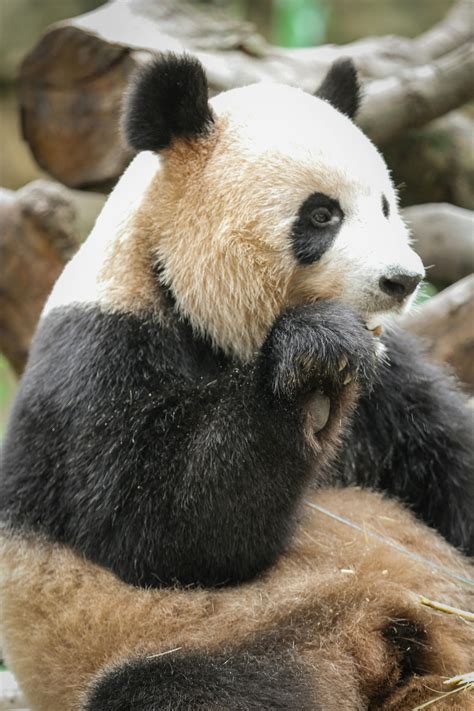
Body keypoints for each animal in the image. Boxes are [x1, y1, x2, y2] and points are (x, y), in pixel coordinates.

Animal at [0, 55, 473, 709]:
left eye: (385, 205)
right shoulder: (96, 361)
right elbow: (164, 530)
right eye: (322, 214)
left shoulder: (390, 383)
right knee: (181, 688)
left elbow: (445, 463)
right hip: (214, 636)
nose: (402, 279)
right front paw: (314, 367)